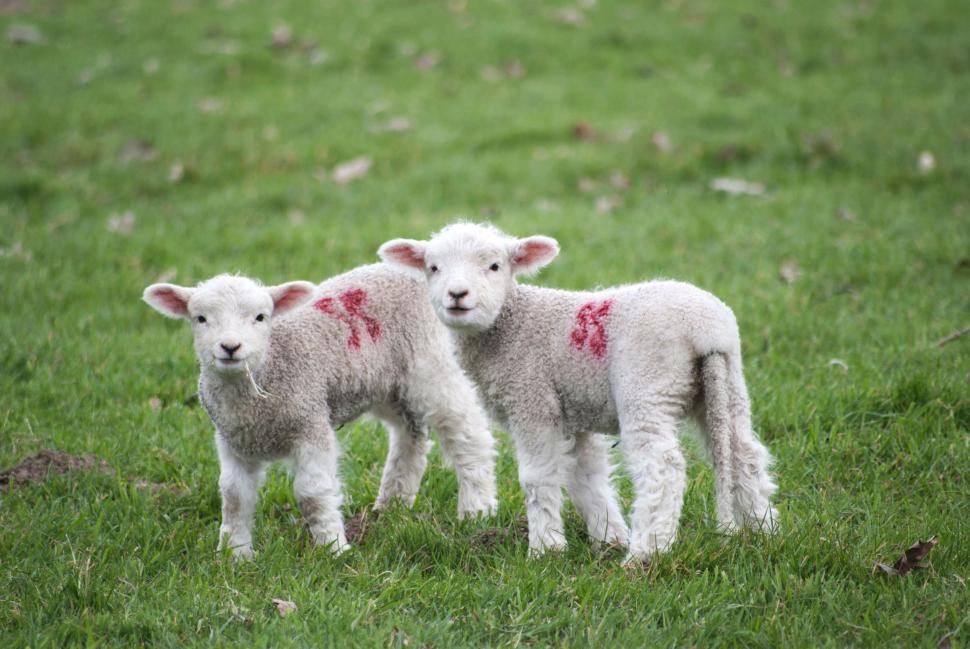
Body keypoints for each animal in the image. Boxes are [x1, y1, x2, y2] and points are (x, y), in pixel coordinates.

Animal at [143, 265, 497, 558]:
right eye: (200, 318)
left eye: (260, 317)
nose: (230, 347)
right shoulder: (233, 441)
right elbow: (233, 496)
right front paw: (235, 556)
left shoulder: (310, 422)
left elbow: (311, 494)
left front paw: (333, 549)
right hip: (386, 384)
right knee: (410, 435)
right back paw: (392, 505)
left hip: (430, 362)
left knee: (467, 432)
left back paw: (477, 510)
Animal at [379, 223, 779, 563]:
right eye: (432, 268)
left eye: (494, 266)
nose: (457, 295)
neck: (511, 325)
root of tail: (708, 331)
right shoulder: (575, 413)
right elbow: (586, 477)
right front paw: (608, 536)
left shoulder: (532, 400)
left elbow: (537, 476)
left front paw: (545, 549)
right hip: (726, 386)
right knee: (743, 453)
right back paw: (765, 531)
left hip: (647, 385)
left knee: (662, 467)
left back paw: (646, 554)